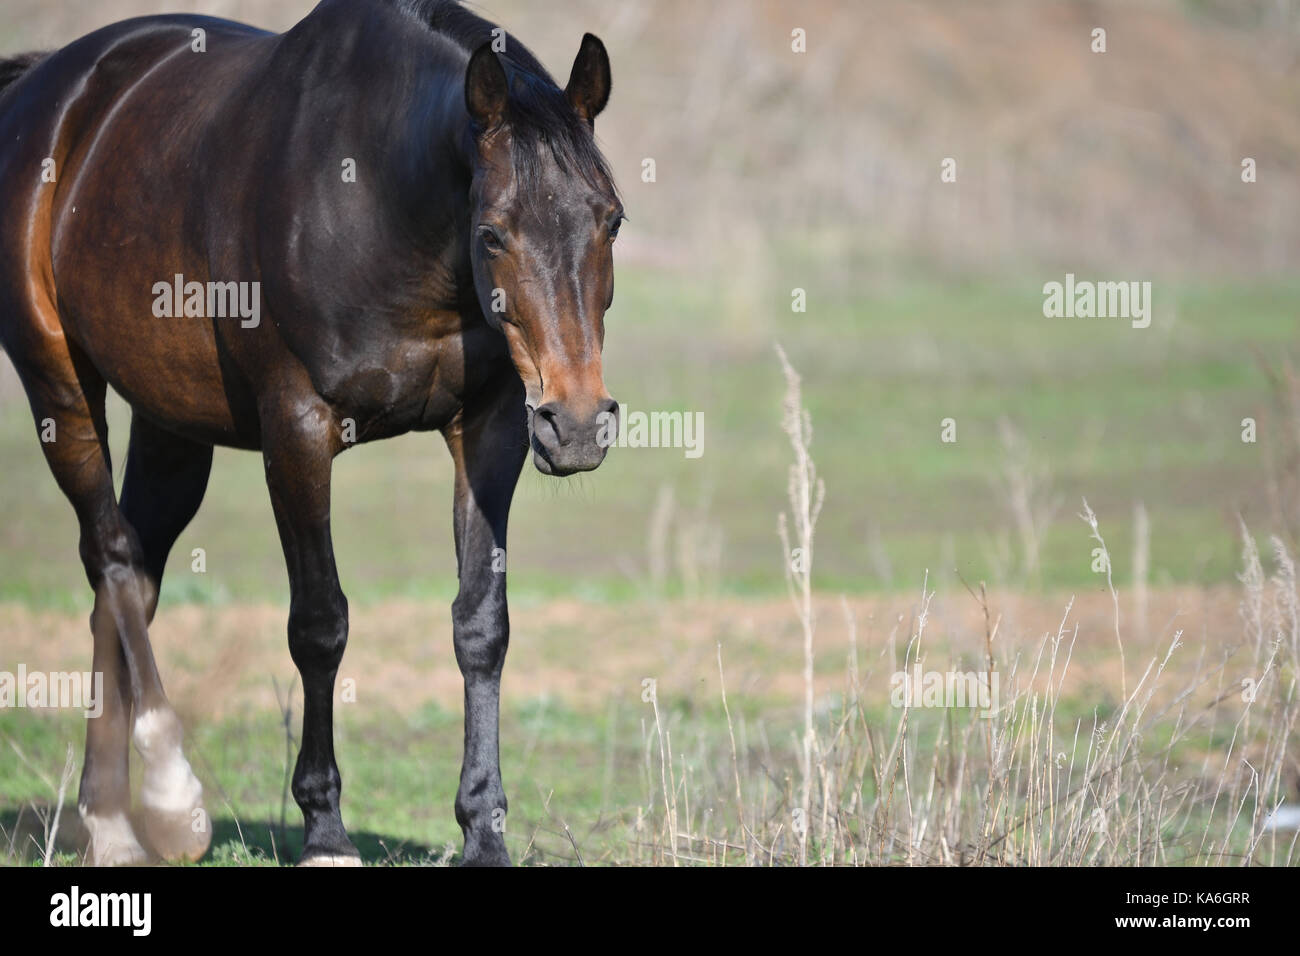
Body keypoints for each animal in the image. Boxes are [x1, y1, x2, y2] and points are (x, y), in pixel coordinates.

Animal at [0, 0, 623, 866]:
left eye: (612, 222)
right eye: (494, 233)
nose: (578, 426)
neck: (380, 202)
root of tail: (48, 92)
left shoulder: (491, 429)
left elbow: (481, 623)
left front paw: (482, 830)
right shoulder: (297, 430)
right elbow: (319, 625)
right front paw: (325, 829)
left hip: (171, 425)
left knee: (125, 582)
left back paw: (112, 818)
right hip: (58, 383)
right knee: (114, 558)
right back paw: (166, 797)